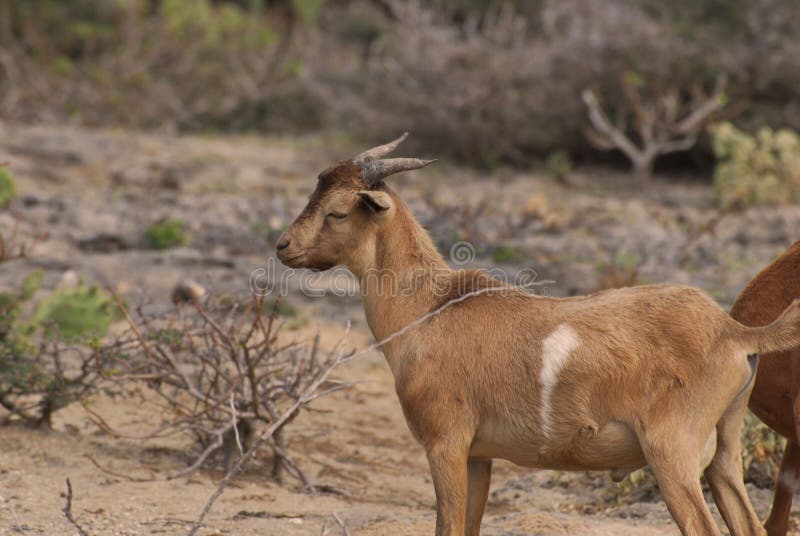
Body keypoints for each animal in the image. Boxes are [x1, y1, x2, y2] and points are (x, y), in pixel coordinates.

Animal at [275, 133, 800, 536]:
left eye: (339, 211)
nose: (283, 246)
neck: (428, 310)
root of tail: (734, 332)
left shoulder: (445, 443)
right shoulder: (478, 456)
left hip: (674, 454)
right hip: (724, 452)